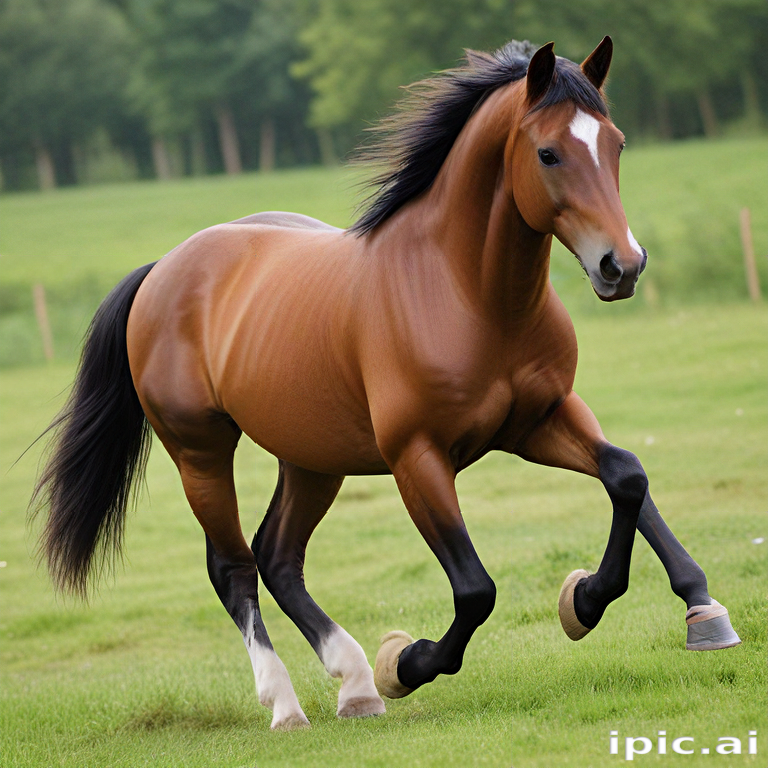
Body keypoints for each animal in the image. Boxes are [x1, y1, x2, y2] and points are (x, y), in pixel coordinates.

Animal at [33, 37, 740, 731]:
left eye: (616, 144)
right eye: (548, 152)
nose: (622, 266)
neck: (468, 293)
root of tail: (164, 268)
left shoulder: (541, 419)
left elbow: (627, 476)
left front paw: (645, 605)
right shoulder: (417, 458)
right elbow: (476, 589)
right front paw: (407, 662)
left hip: (311, 457)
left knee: (278, 556)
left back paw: (353, 685)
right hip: (200, 451)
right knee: (233, 568)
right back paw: (290, 704)